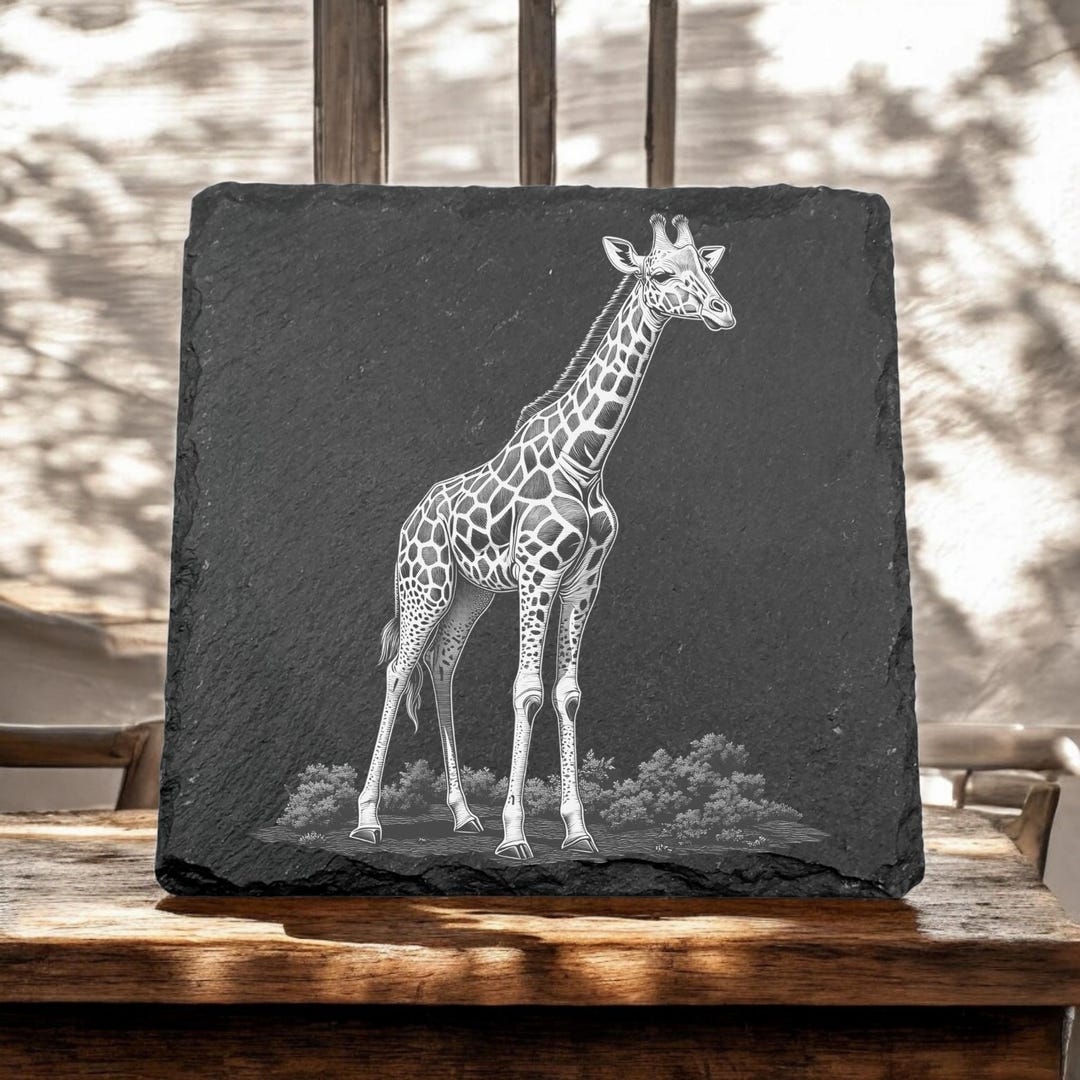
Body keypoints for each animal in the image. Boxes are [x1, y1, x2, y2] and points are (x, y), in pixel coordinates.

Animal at [351, 212, 735, 860]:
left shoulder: (583, 581)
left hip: (471, 593)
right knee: (400, 671)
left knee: (443, 667)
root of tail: (410, 520)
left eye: (706, 271)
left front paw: (577, 830)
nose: (721, 312)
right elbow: (527, 690)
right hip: (425, 587)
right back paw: (368, 818)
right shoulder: (538, 574)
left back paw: (462, 815)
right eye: (660, 274)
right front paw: (515, 834)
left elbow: (567, 693)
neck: (584, 459)